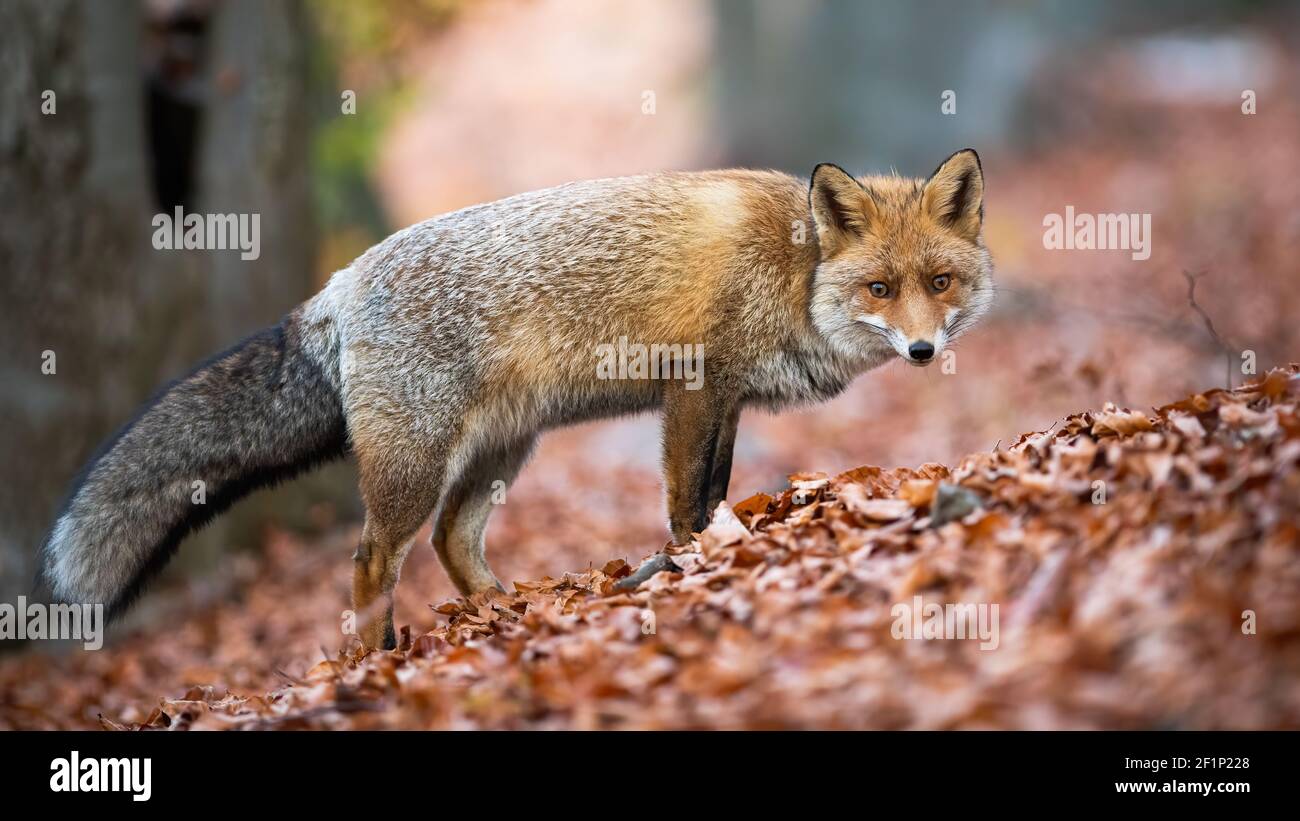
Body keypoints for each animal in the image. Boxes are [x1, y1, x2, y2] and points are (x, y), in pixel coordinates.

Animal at [40, 149, 993, 649]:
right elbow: (689, 502)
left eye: (939, 283)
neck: (793, 267)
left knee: (451, 542)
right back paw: (374, 661)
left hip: (500, 452)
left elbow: (717, 491)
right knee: (373, 560)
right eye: (879, 288)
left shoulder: (727, 400)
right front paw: (694, 562)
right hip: (415, 466)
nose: (922, 349)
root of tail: (338, 285)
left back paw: (503, 610)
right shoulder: (694, 385)